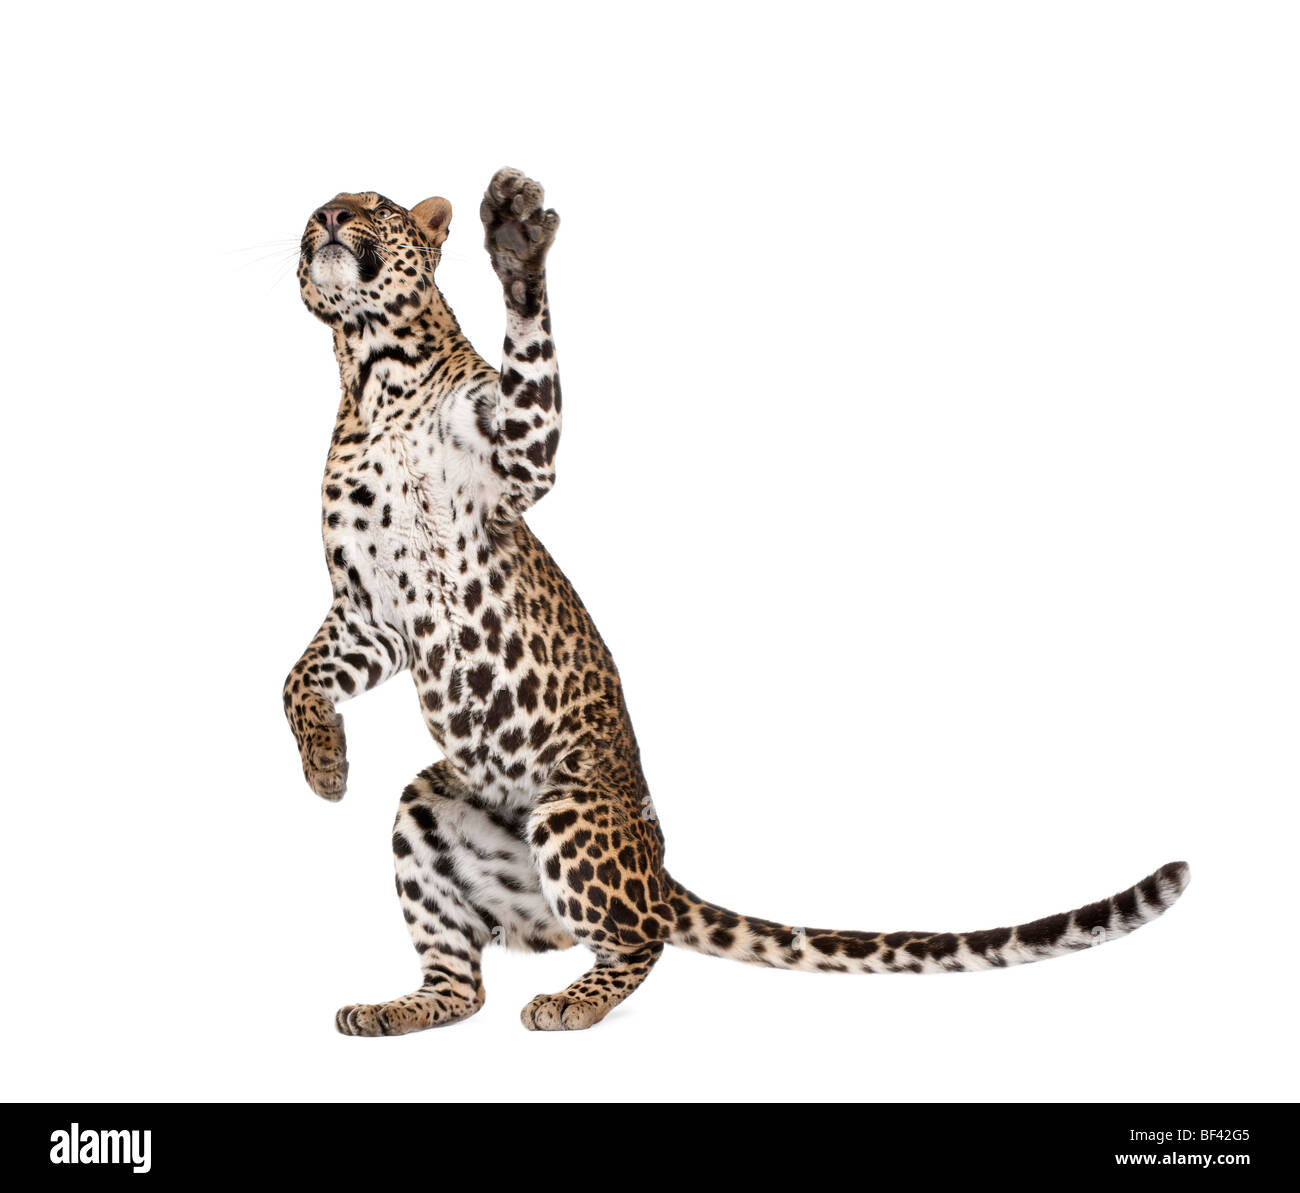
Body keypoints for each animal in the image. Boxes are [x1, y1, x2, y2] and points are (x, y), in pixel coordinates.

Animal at [283, 167, 1190, 1034]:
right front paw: (326, 768)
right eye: (317, 208)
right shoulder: (369, 609)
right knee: (463, 982)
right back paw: (393, 1010)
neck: (374, 373)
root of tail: (659, 872)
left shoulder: (515, 455)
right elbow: (295, 679)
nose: (328, 216)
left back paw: (574, 1000)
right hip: (429, 805)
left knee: (638, 940)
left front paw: (512, 239)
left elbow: (527, 351)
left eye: (374, 202)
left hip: (570, 806)